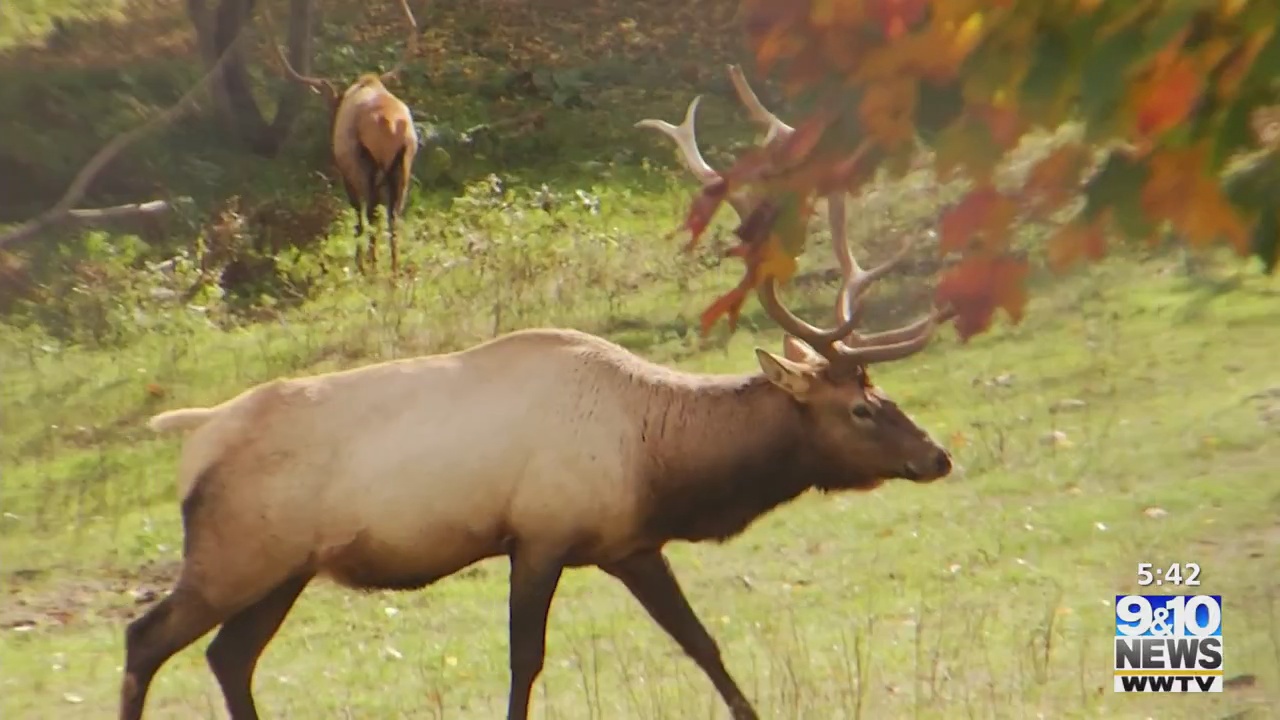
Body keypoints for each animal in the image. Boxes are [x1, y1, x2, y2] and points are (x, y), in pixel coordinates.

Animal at [118, 75, 959, 720]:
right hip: (235, 554)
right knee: (146, 638)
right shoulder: (541, 532)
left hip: (281, 568)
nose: (938, 456)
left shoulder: (630, 544)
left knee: (229, 657)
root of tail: (194, 437)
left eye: (881, 390)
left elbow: (701, 642)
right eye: (860, 409)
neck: (662, 461)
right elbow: (527, 661)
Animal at [261, 0, 420, 275]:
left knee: (372, 215)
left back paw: (372, 268)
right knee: (394, 218)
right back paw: (392, 272)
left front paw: (359, 264)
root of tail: (391, 125)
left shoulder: (347, 175)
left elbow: (358, 217)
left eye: (332, 110)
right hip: (402, 167)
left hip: (366, 167)